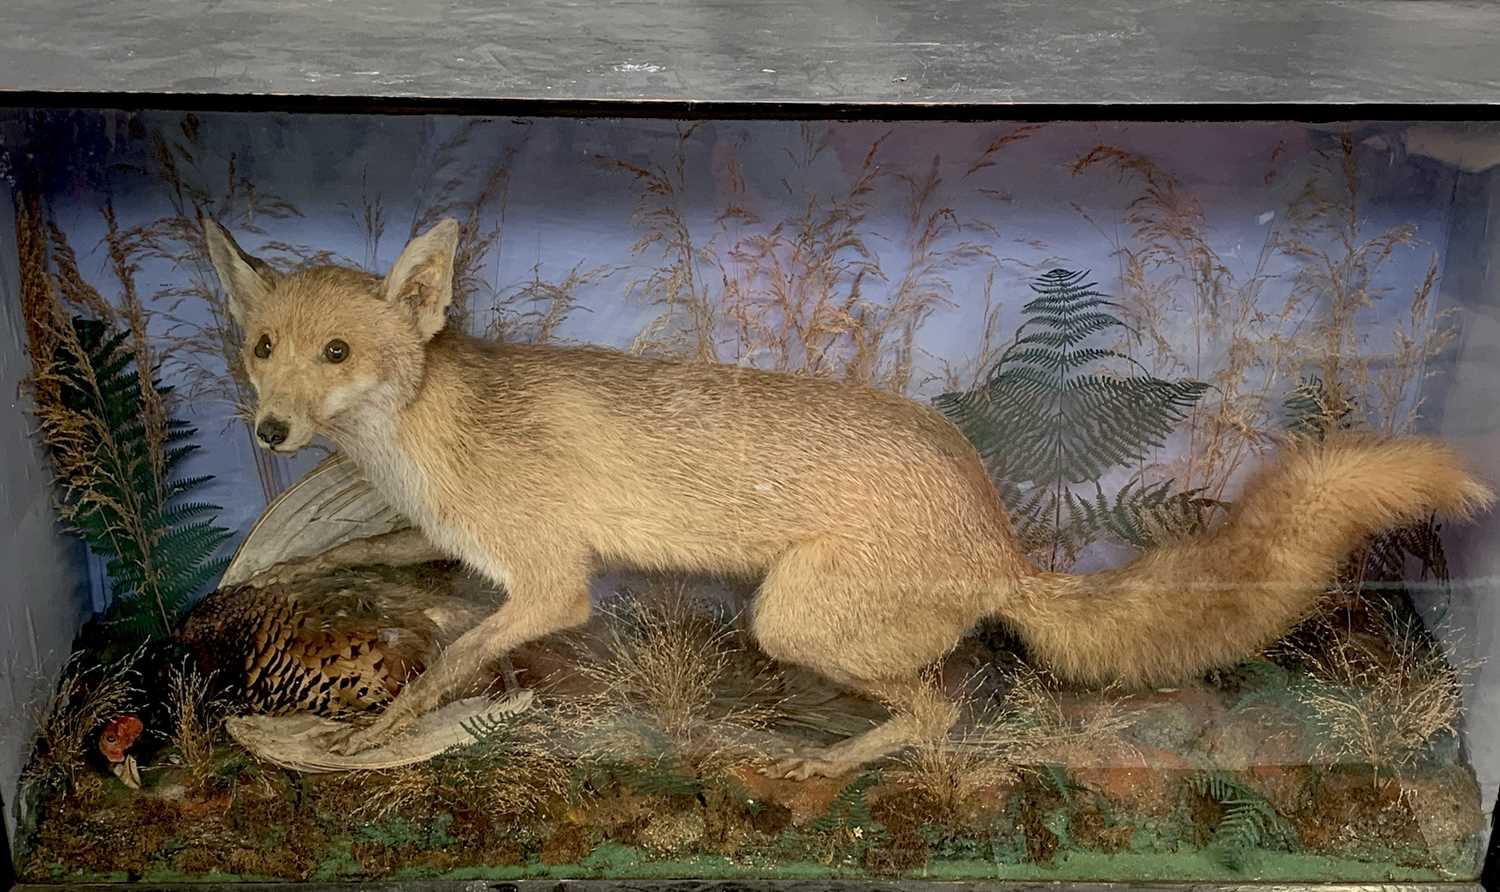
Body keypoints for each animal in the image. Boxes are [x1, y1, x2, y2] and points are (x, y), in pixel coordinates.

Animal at [203, 215, 1494, 778]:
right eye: (264, 348)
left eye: (336, 353)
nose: (268, 429)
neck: (432, 435)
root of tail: (998, 538)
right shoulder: (461, 553)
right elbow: (348, 571)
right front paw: (263, 582)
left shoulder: (552, 586)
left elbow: (454, 660)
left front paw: (373, 733)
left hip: (789, 617)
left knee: (938, 710)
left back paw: (826, 767)